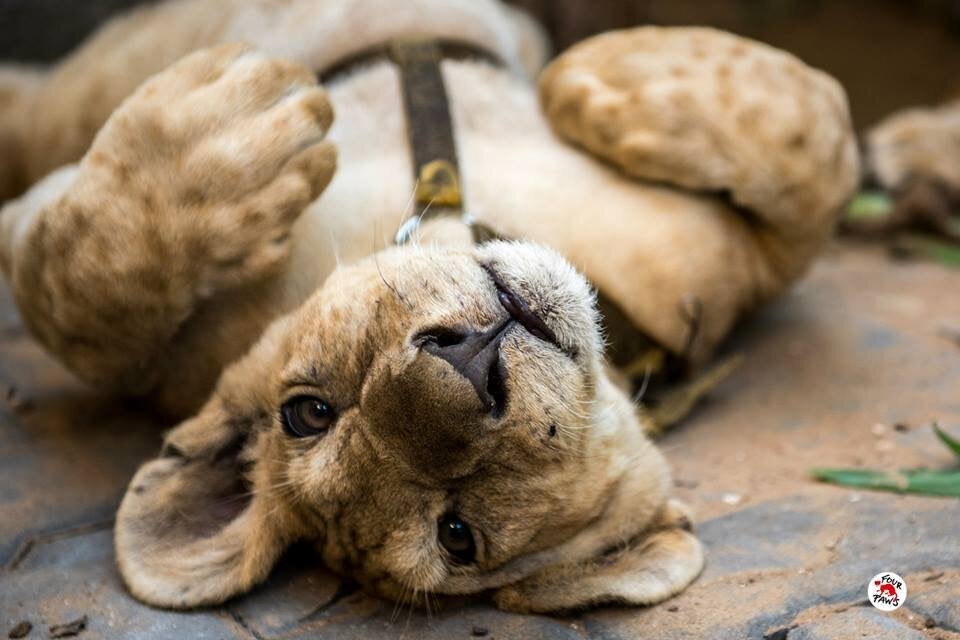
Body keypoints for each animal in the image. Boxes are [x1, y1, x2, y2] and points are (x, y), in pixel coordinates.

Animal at [0, 0, 858, 613]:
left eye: (305, 412)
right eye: (456, 535)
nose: (469, 361)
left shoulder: (720, 269)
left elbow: (814, 146)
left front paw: (600, 78)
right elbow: (79, 282)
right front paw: (236, 132)